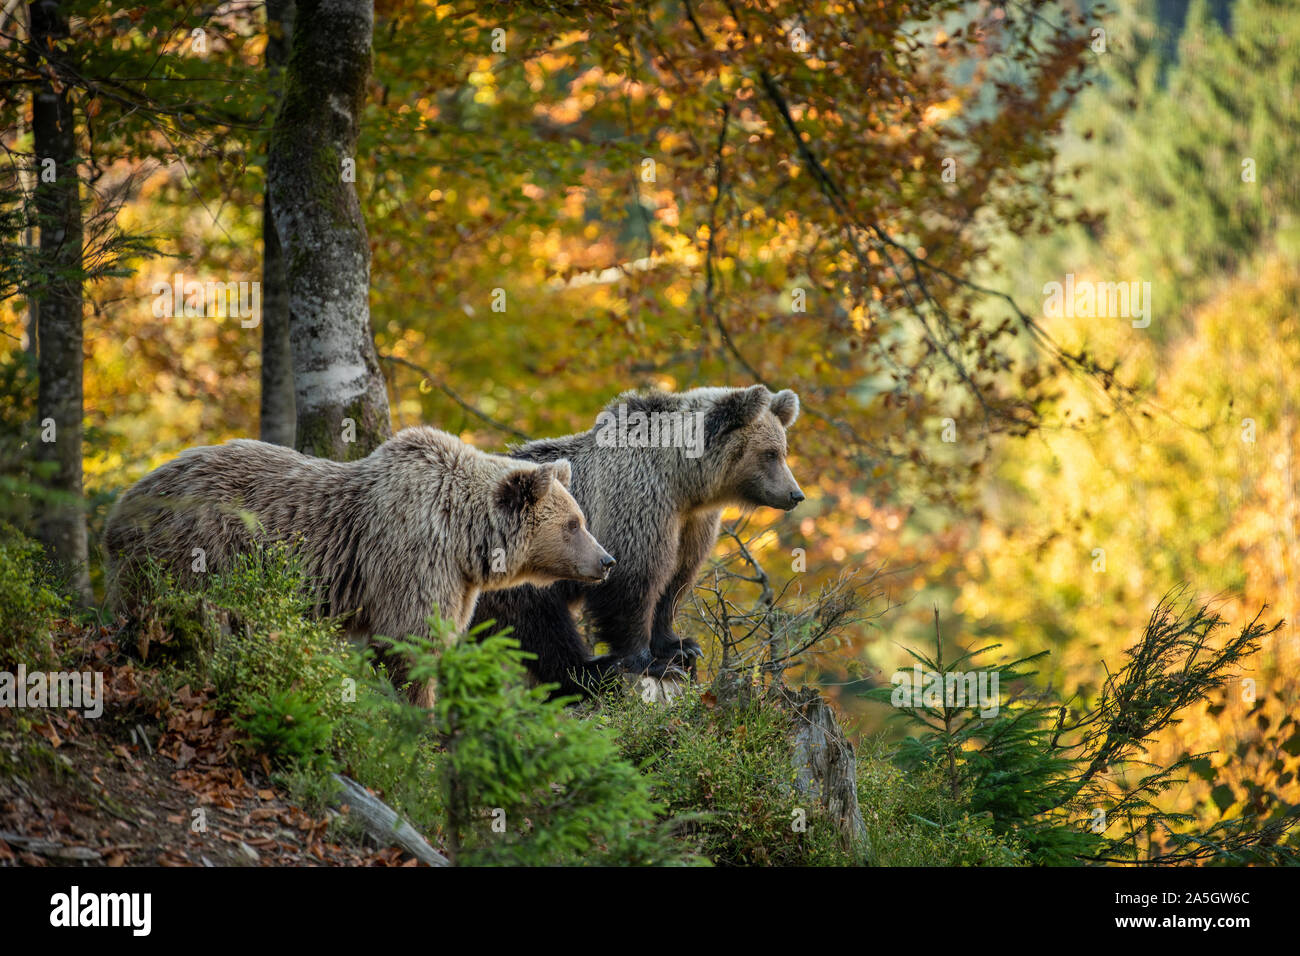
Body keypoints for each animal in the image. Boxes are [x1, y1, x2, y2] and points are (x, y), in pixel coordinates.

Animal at [104, 426, 616, 701]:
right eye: (573, 524)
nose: (607, 559)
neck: (462, 536)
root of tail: (127, 499)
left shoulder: (453, 582)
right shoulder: (411, 559)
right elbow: (410, 641)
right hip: (199, 548)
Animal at [470, 384, 803, 698]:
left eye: (782, 450)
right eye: (770, 453)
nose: (795, 494)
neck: (682, 482)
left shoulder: (690, 523)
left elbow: (675, 581)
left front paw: (681, 647)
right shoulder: (636, 503)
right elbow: (632, 580)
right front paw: (650, 662)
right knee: (539, 623)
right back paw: (589, 672)